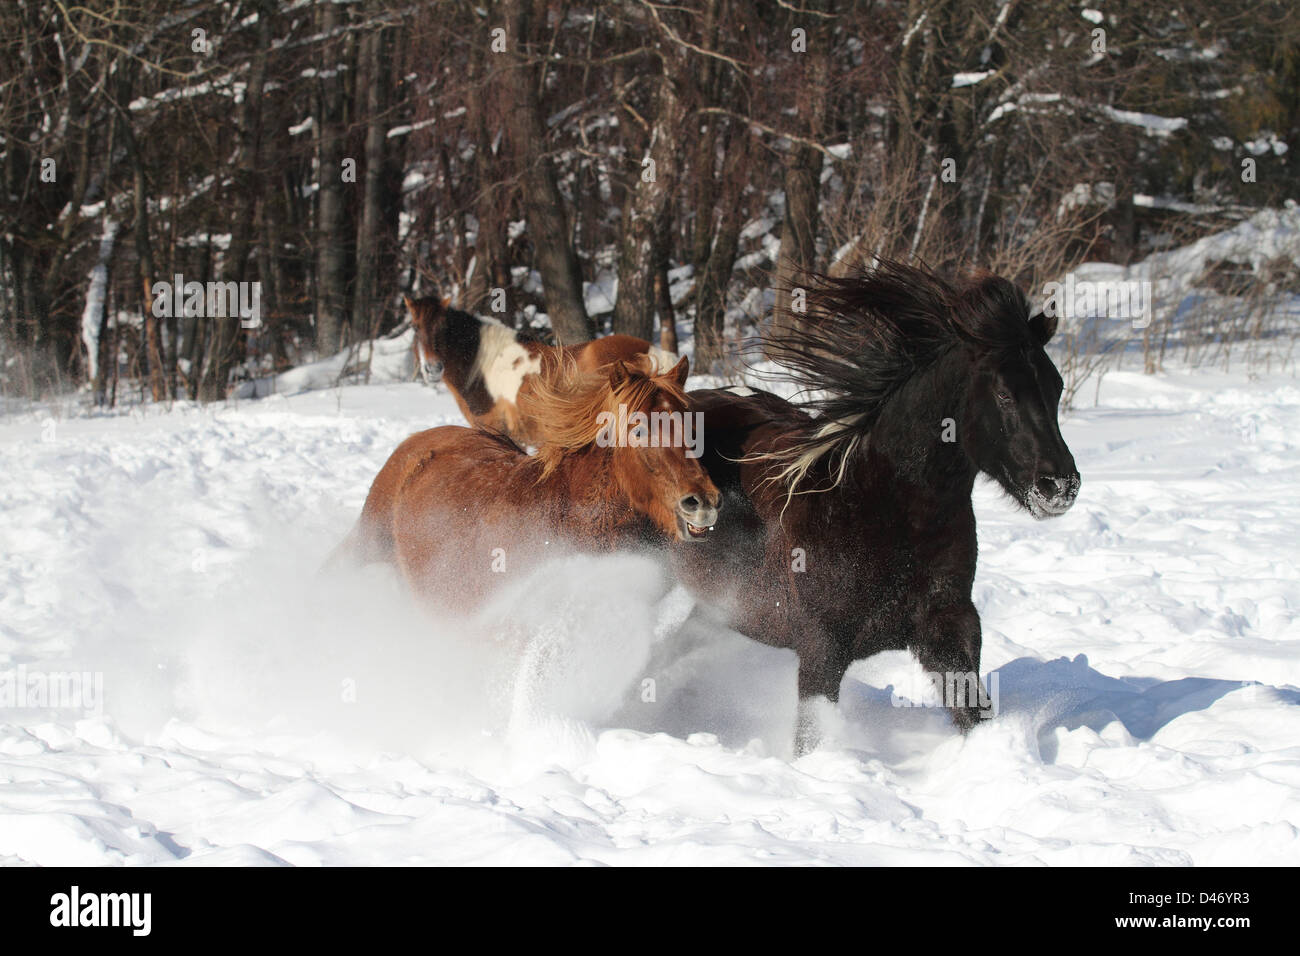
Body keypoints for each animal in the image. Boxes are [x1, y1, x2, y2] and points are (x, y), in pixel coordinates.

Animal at [669, 260, 1081, 750]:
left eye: (1056, 386)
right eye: (1003, 393)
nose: (1060, 485)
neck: (882, 505)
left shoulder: (949, 628)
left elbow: (972, 711)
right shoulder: (821, 648)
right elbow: (810, 739)